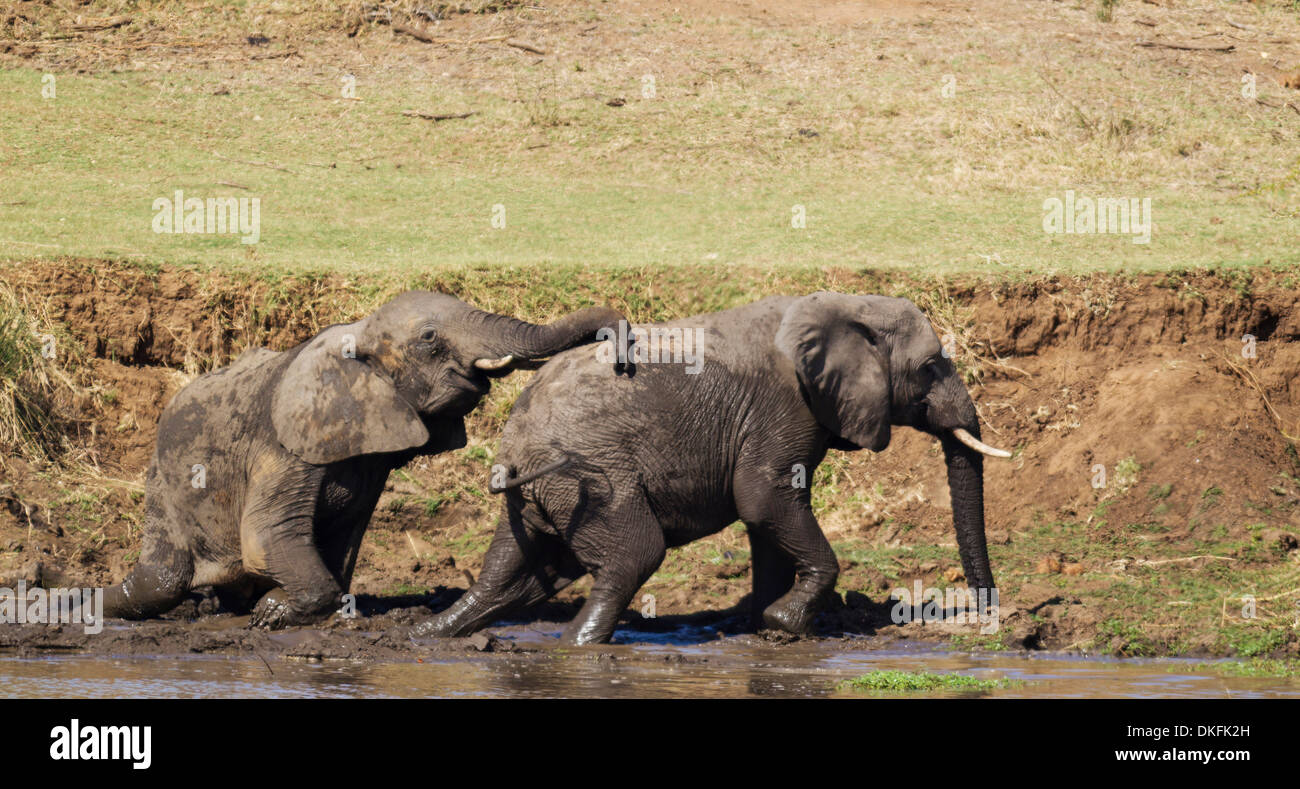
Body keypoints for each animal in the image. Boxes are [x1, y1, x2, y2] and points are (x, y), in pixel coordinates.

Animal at [103, 291, 624, 628]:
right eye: (429, 338)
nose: (619, 356)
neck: (358, 335)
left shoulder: (371, 456)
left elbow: (346, 534)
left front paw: (288, 606)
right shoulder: (286, 446)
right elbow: (267, 534)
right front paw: (274, 613)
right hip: (164, 484)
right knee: (163, 583)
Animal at [421, 292, 1011, 644]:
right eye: (930, 367)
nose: (987, 616)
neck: (837, 304)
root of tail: (513, 444)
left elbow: (765, 518)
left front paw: (766, 629)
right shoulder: (785, 406)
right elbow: (763, 499)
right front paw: (785, 623)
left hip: (543, 494)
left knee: (514, 576)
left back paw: (431, 636)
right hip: (592, 477)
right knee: (632, 557)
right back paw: (578, 648)